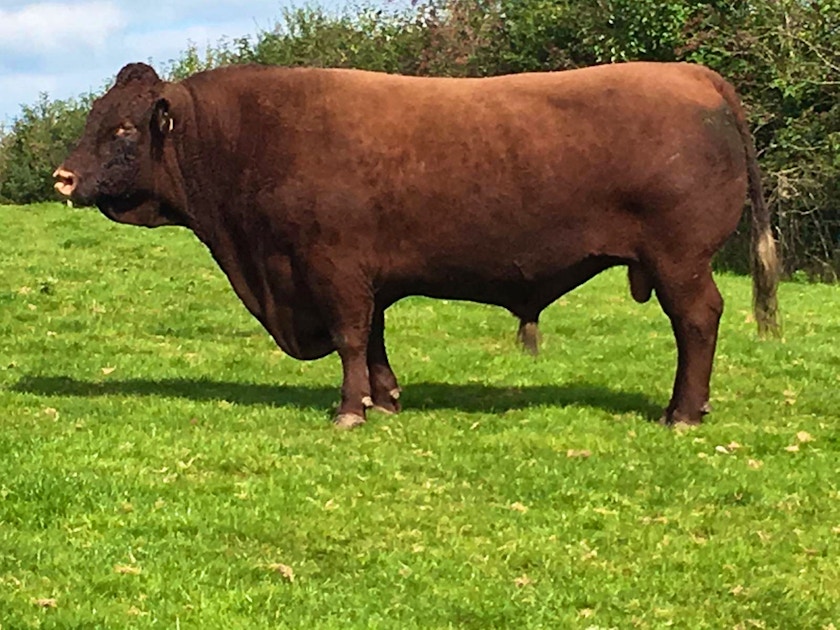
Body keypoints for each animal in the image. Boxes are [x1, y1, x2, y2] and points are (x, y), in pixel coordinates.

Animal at [54, 61, 779, 429]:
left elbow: (349, 337)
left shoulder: (332, 266)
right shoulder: (361, 274)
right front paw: (387, 399)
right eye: (93, 117)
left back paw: (683, 412)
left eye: (122, 129)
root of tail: (693, 74)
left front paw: (350, 412)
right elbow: (373, 337)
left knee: (697, 322)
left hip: (680, 261)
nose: (62, 176)